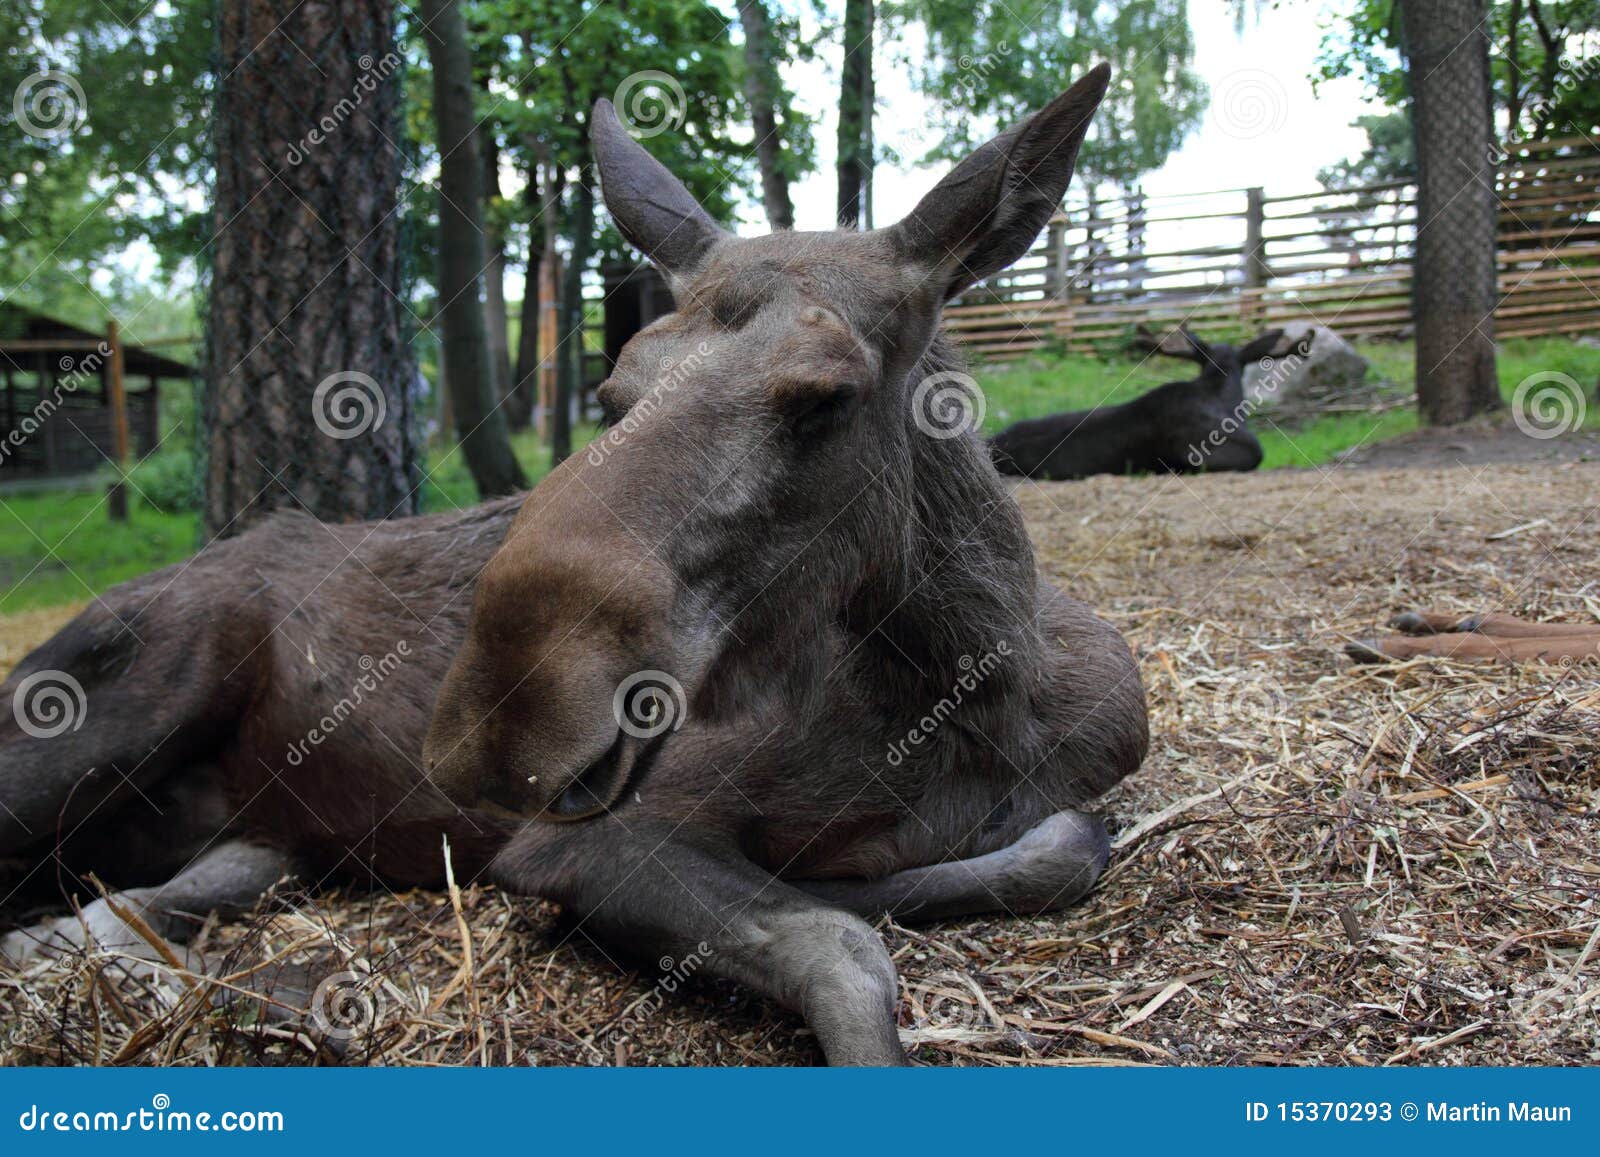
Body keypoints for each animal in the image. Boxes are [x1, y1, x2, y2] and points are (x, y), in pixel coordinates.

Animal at [2, 66, 1148, 1066]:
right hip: (106, 711)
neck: (973, 693)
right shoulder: (578, 839)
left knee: (170, 886)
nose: (497, 723)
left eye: (826, 395)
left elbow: (1066, 840)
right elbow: (840, 944)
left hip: (253, 826)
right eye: (613, 390)